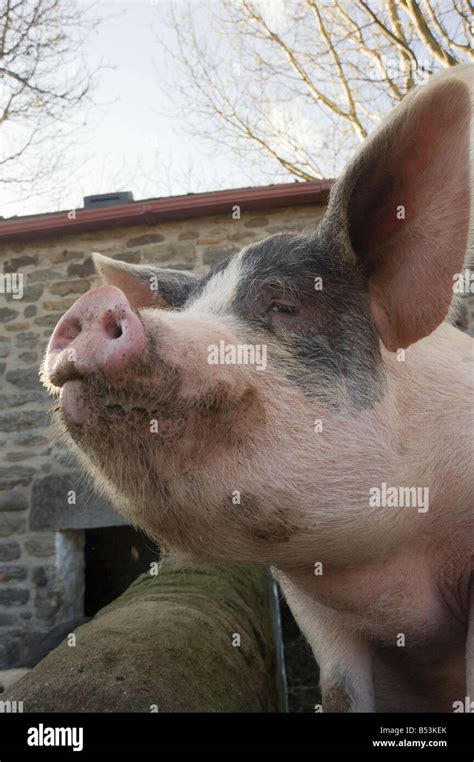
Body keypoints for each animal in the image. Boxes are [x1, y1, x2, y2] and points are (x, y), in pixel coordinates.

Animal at [41, 64, 473, 713]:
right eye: (192, 309)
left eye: (285, 306)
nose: (95, 303)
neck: (388, 569)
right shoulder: (313, 608)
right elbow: (339, 688)